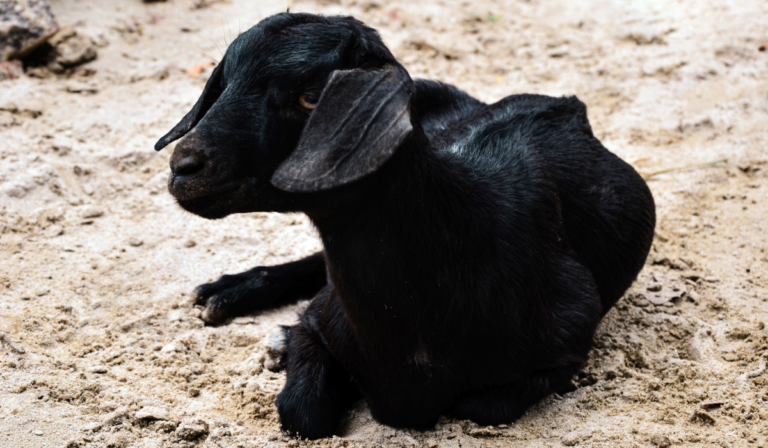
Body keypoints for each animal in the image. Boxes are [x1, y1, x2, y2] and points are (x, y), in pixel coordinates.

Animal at [154, 12, 656, 440]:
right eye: (224, 82)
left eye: (310, 96)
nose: (184, 168)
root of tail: (566, 104)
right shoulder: (322, 319)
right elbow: (301, 413)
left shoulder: (567, 342)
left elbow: (479, 407)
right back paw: (225, 293)